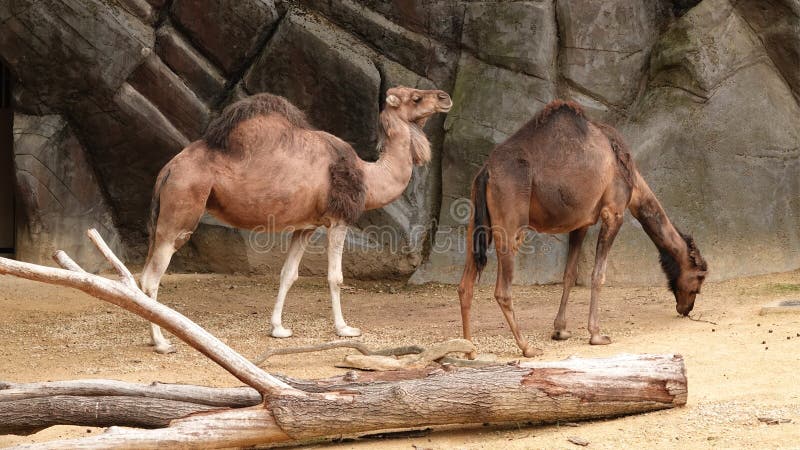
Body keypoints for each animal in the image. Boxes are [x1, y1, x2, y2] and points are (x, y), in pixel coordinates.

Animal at [140, 86, 452, 353]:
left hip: (162, 219)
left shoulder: (306, 227)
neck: (368, 176)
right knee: (152, 278)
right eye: (415, 97)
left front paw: (278, 329)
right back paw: (162, 343)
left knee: (145, 274)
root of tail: (168, 169)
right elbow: (335, 277)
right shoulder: (339, 220)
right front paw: (345, 329)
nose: (444, 97)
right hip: (182, 209)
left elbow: (288, 274)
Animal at [458, 100, 708, 357]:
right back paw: (527, 347)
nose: (686, 308)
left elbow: (569, 274)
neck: (633, 181)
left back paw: (469, 351)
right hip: (511, 221)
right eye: (699, 277)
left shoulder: (580, 223)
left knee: (465, 286)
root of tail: (486, 172)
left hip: (477, 222)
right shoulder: (613, 212)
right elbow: (598, 275)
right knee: (502, 290)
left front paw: (560, 330)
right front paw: (596, 335)